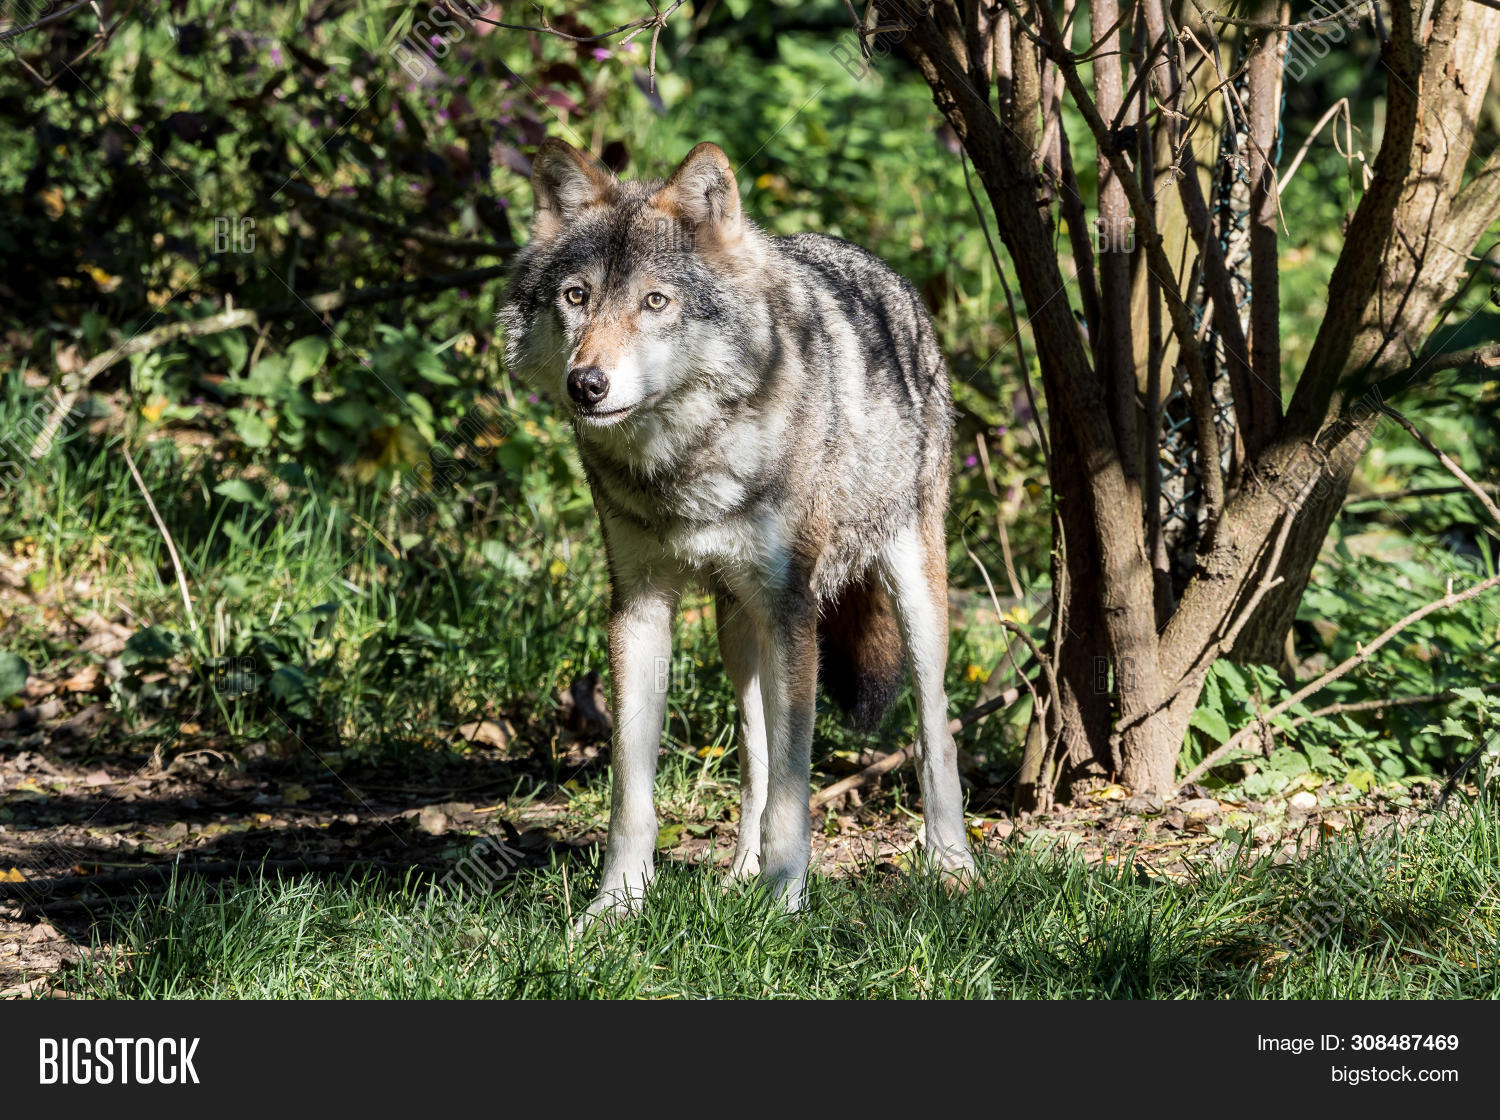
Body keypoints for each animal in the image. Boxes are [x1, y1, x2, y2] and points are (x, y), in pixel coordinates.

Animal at [500, 139, 976, 924]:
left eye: (655, 302)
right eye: (576, 297)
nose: (586, 385)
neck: (689, 459)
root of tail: (875, 265)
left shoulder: (792, 610)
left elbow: (795, 786)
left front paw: (786, 899)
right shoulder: (638, 609)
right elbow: (633, 791)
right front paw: (616, 905)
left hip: (911, 592)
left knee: (934, 731)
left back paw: (952, 864)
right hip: (736, 631)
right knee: (755, 752)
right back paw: (738, 874)